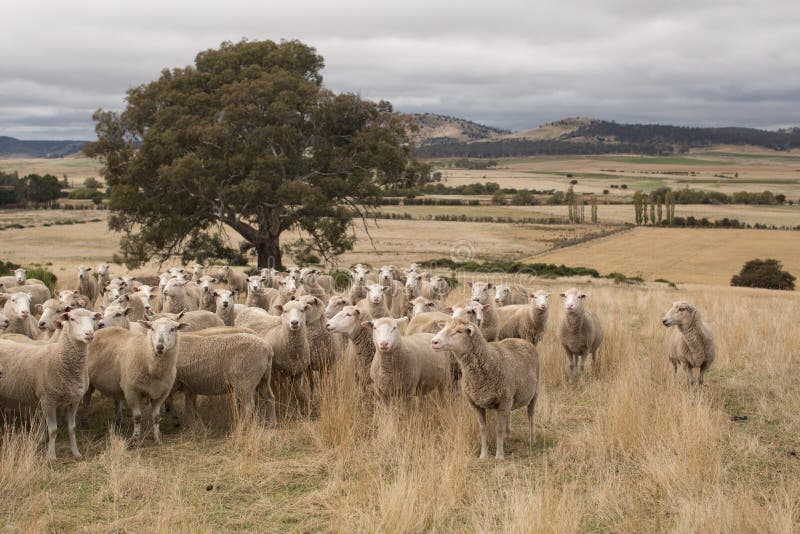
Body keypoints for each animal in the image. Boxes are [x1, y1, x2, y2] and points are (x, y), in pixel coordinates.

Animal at [0, 308, 101, 459]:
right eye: (72, 319)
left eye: (92, 318)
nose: (89, 334)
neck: (60, 356)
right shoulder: (48, 399)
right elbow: (53, 430)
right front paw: (51, 455)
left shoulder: (74, 401)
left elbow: (72, 428)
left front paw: (76, 452)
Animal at [431, 317, 539, 460]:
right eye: (443, 327)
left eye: (459, 331)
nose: (434, 342)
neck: (489, 360)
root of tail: (521, 340)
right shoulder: (476, 404)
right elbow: (483, 428)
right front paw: (483, 454)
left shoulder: (503, 401)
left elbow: (498, 428)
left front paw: (499, 455)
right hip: (510, 397)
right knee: (510, 414)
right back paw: (508, 434)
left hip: (534, 392)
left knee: (531, 415)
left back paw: (532, 439)